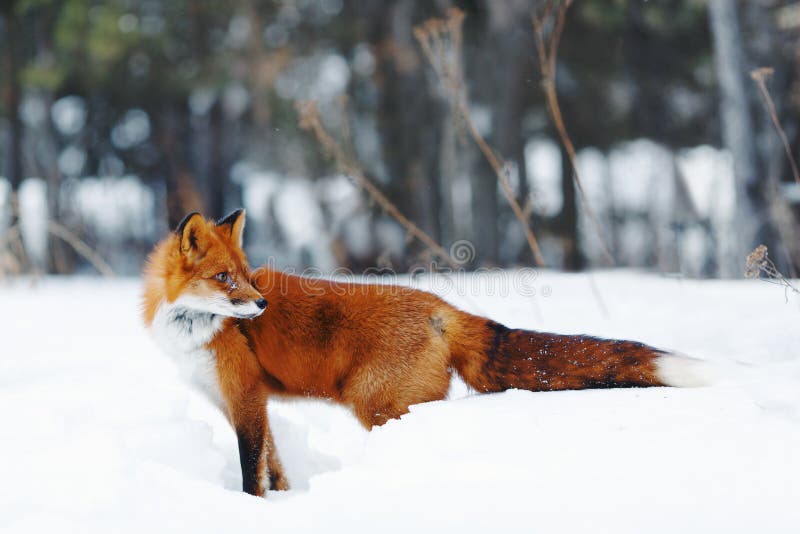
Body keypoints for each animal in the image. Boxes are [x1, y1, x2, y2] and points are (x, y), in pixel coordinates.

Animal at [142, 209, 709, 497]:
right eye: (224, 277)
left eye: (248, 277)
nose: (260, 305)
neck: (194, 327)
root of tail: (442, 307)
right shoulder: (240, 400)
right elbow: (273, 465)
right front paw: (284, 500)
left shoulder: (244, 396)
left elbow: (249, 471)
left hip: (379, 407)